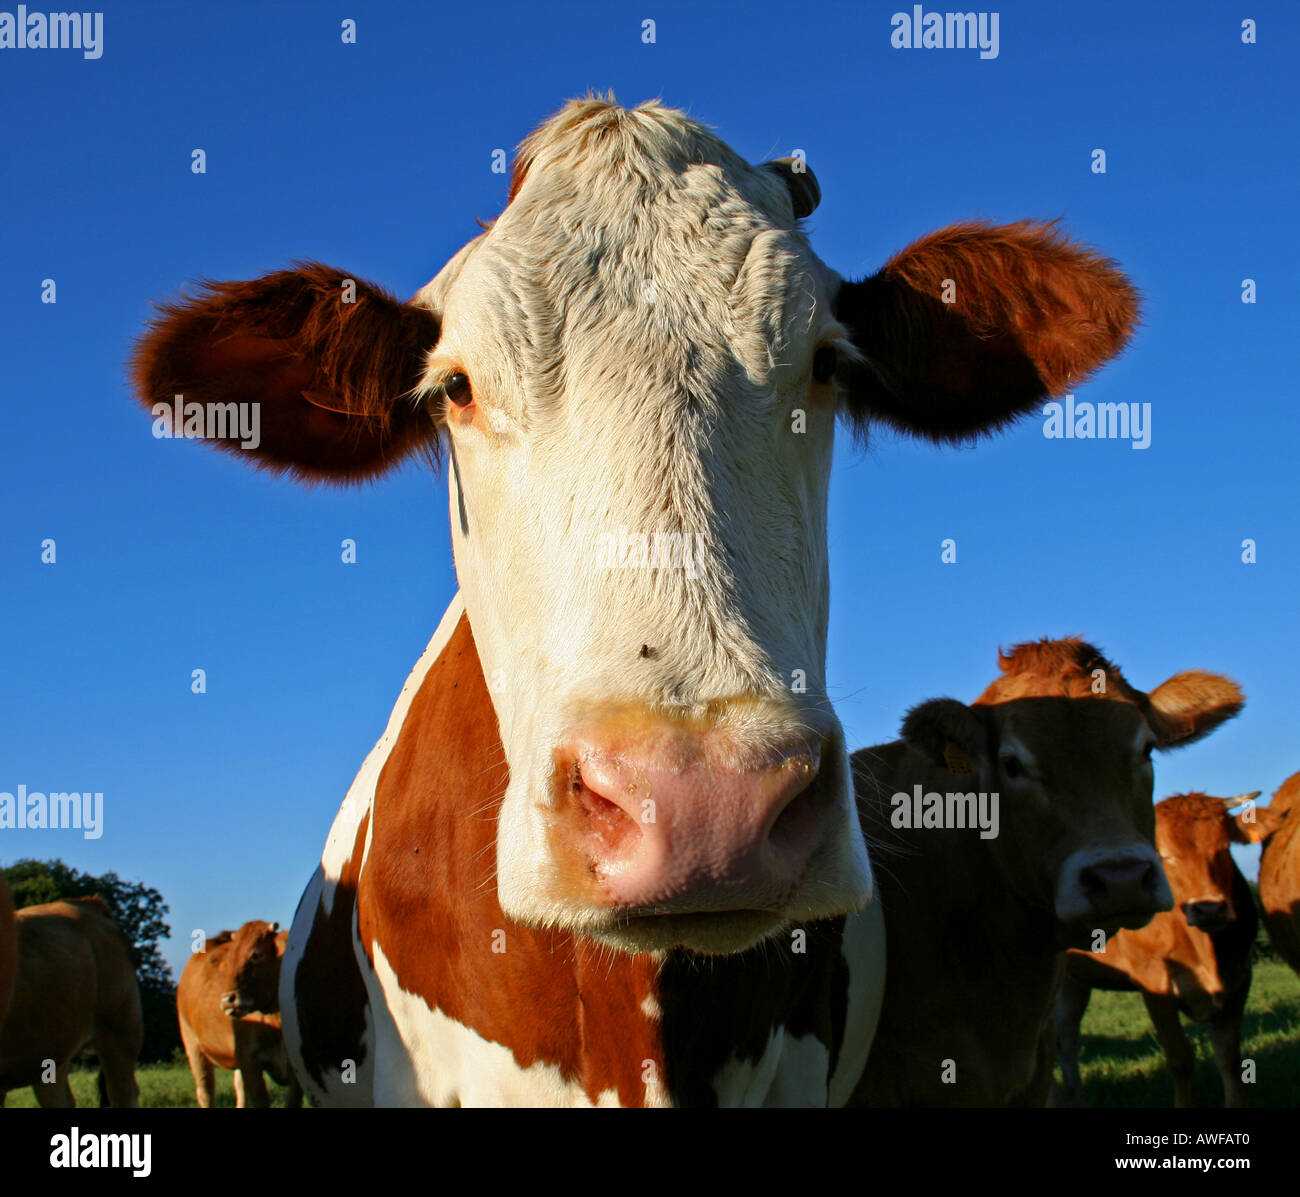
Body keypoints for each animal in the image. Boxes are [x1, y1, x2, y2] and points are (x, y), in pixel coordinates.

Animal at [176, 920, 302, 1108]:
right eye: (229, 960)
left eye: (256, 954)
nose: (228, 999)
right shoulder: (249, 1060)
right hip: (193, 1045)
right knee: (205, 1091)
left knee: (239, 1089)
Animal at [1056, 792, 1268, 1108]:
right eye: (1165, 856)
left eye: (1222, 848)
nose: (1209, 909)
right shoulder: (1153, 981)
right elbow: (1180, 1059)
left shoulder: (1240, 978)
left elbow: (1230, 1059)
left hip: (1074, 979)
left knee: (1066, 1036)